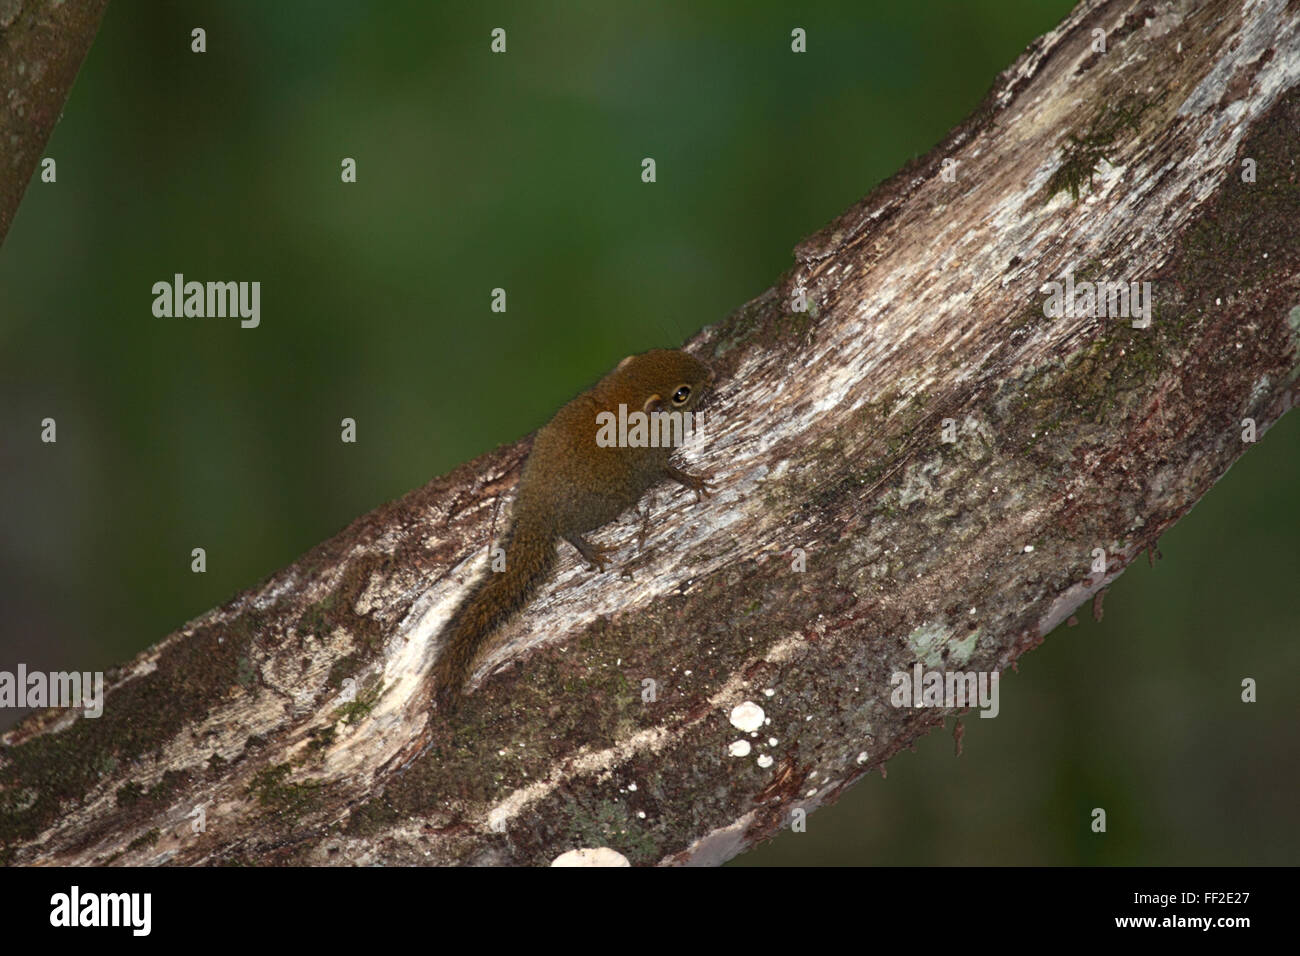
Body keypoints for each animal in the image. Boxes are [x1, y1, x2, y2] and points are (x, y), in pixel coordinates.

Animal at [432, 348, 714, 712]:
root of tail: (536, 510)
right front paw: (693, 480)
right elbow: (670, 472)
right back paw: (590, 550)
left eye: (672, 352)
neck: (624, 395)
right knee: (569, 533)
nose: (711, 373)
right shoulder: (653, 458)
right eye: (682, 393)